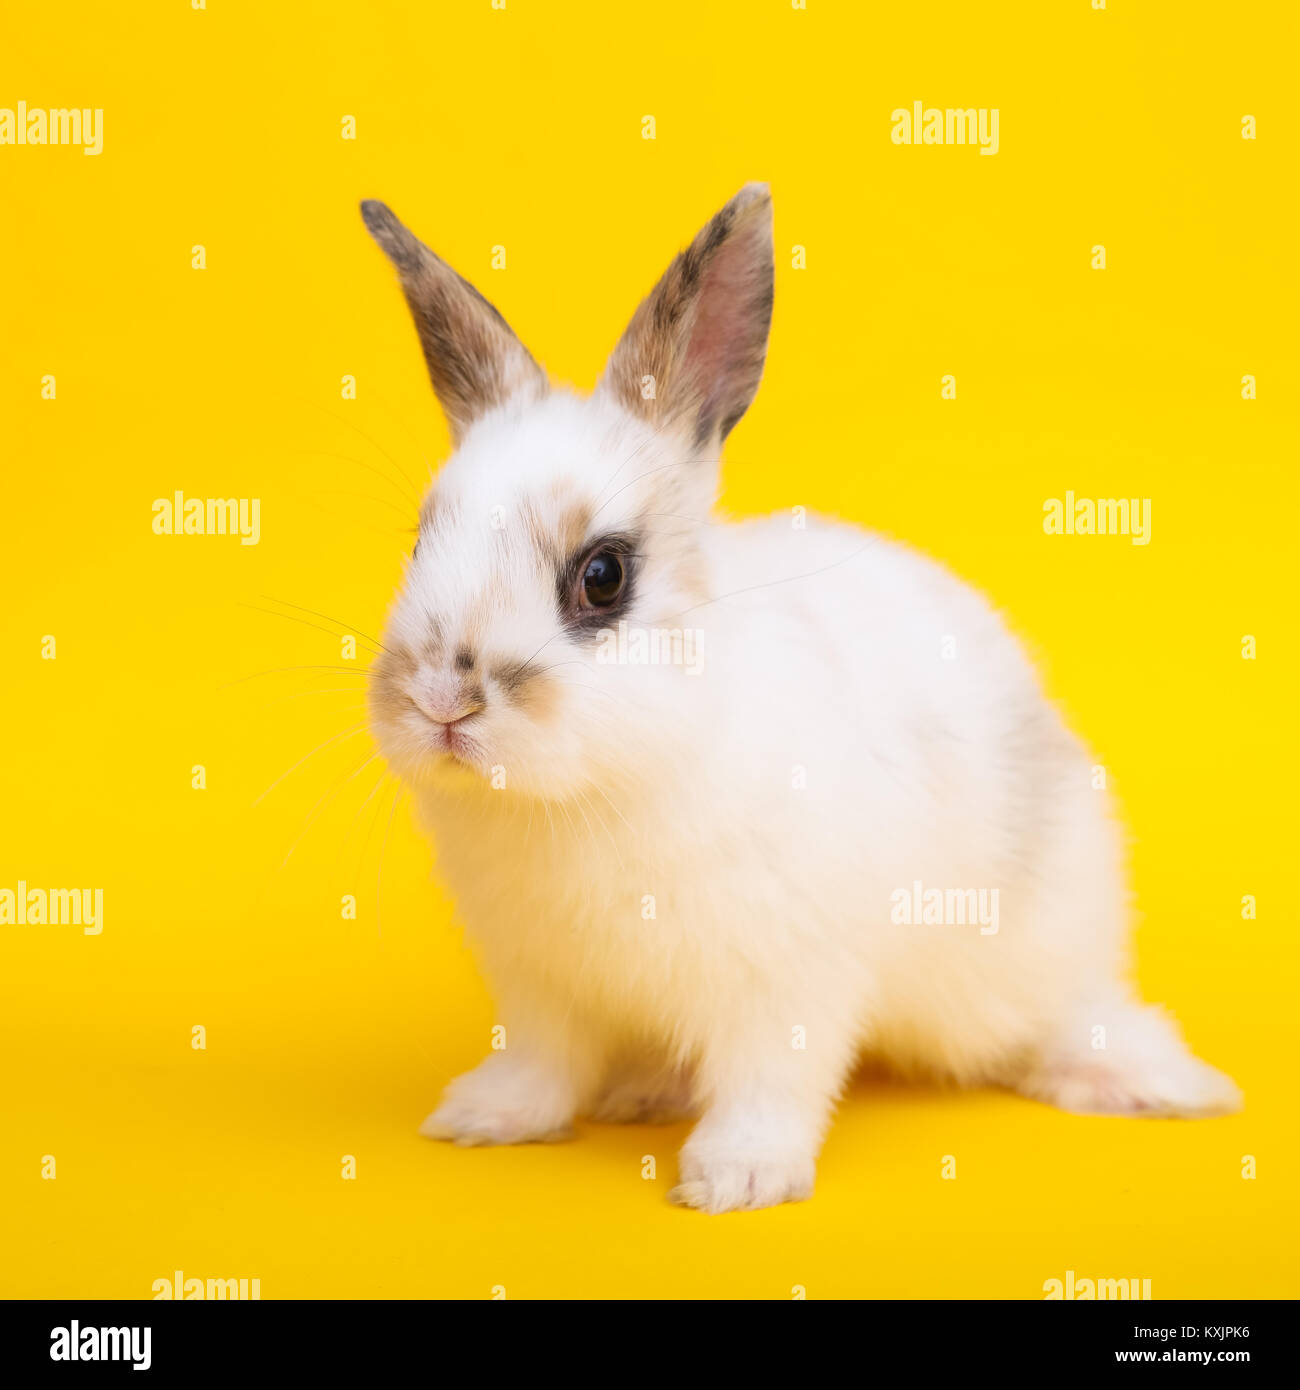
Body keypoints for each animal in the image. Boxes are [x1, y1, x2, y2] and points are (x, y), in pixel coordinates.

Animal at [360, 184, 1240, 1213]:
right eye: (420, 541)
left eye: (603, 577)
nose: (440, 700)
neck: (597, 786)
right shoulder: (540, 984)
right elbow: (545, 1062)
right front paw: (485, 1119)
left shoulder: (785, 980)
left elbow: (767, 1081)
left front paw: (736, 1178)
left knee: (1073, 1019)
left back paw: (1159, 1085)